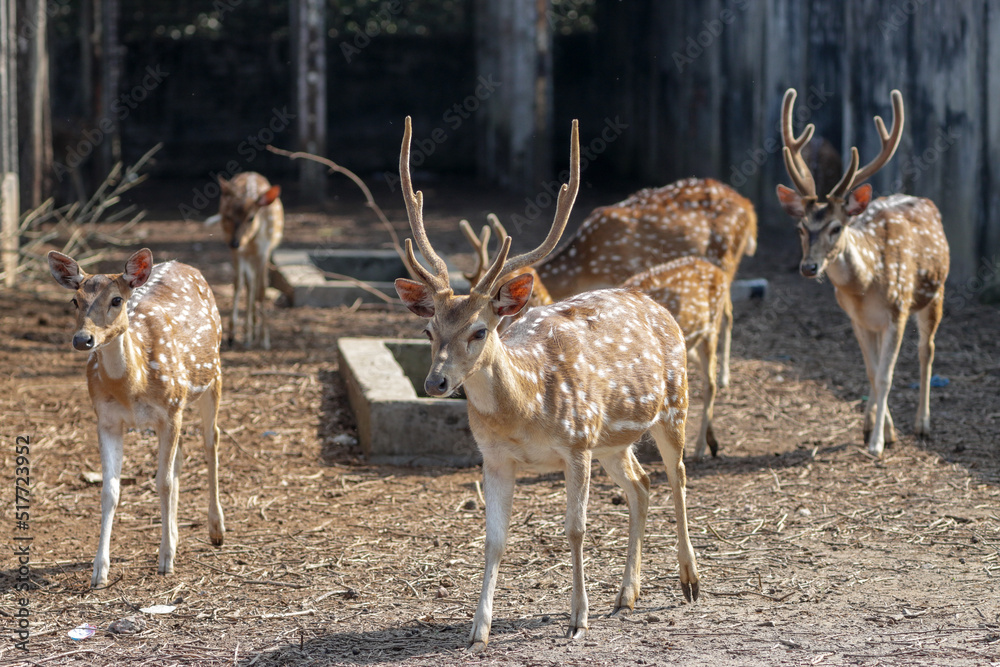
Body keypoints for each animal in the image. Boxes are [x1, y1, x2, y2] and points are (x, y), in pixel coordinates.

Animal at [47, 248, 226, 588]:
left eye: (116, 299)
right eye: (74, 300)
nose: (83, 339)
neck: (133, 386)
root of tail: (185, 265)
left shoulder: (169, 410)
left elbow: (163, 482)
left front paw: (165, 561)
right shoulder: (106, 420)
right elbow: (110, 491)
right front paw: (99, 571)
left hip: (212, 376)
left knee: (211, 443)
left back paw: (216, 531)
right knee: (181, 457)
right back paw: (177, 536)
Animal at [217, 172, 284, 349]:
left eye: (251, 218)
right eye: (228, 215)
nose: (235, 242)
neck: (251, 240)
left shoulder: (264, 251)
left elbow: (262, 290)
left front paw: (265, 339)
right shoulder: (239, 253)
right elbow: (238, 284)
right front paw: (233, 334)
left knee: (254, 284)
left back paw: (253, 330)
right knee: (248, 283)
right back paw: (248, 332)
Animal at [393, 117, 699, 652]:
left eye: (480, 330)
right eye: (429, 330)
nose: (435, 381)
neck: (525, 411)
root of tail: (657, 305)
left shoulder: (575, 443)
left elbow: (575, 528)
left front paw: (578, 618)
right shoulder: (495, 457)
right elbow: (494, 538)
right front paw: (478, 629)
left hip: (673, 403)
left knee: (678, 476)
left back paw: (689, 582)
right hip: (613, 440)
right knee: (641, 485)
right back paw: (626, 595)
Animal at [776, 88, 950, 457]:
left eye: (836, 227)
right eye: (801, 227)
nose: (809, 267)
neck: (867, 284)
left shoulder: (898, 311)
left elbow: (885, 375)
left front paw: (877, 443)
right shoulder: (856, 318)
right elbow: (871, 371)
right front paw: (878, 429)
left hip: (935, 293)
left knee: (926, 350)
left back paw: (922, 424)